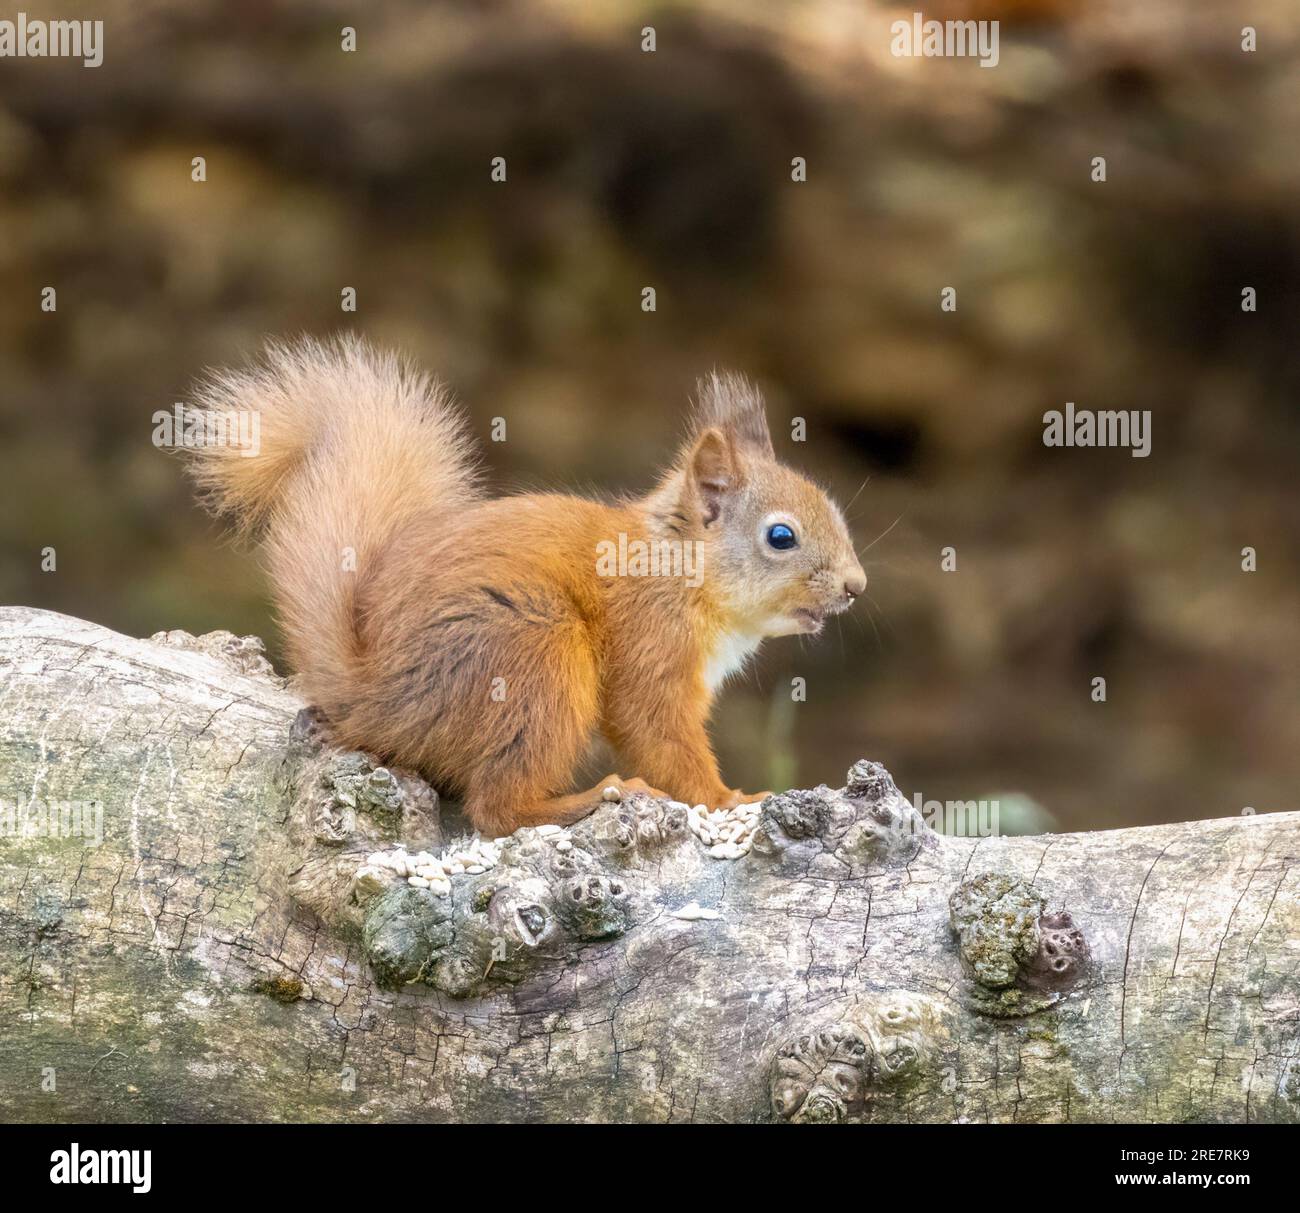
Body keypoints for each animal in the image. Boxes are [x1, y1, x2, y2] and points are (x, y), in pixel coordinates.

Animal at [184, 336, 866, 836]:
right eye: (781, 537)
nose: (856, 586)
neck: (677, 570)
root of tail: (370, 697)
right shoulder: (651, 644)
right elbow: (656, 732)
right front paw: (729, 800)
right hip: (534, 655)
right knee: (497, 810)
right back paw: (589, 798)